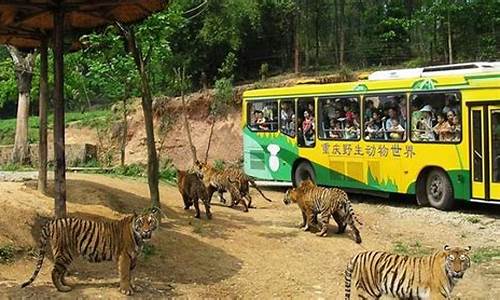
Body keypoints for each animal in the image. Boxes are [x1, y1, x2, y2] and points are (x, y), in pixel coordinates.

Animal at [20, 209, 158, 296]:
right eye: (141, 222)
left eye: (150, 222)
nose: (146, 231)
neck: (139, 239)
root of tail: (53, 221)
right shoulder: (125, 256)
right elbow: (125, 274)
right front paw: (126, 290)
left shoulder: (134, 258)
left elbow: (132, 274)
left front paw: (134, 287)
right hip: (64, 253)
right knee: (54, 272)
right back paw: (62, 289)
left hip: (67, 254)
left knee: (61, 272)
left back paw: (67, 283)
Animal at [344, 245, 472, 298]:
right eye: (451, 260)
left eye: (462, 260)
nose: (457, 271)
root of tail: (359, 254)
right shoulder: (437, 296)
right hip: (368, 291)